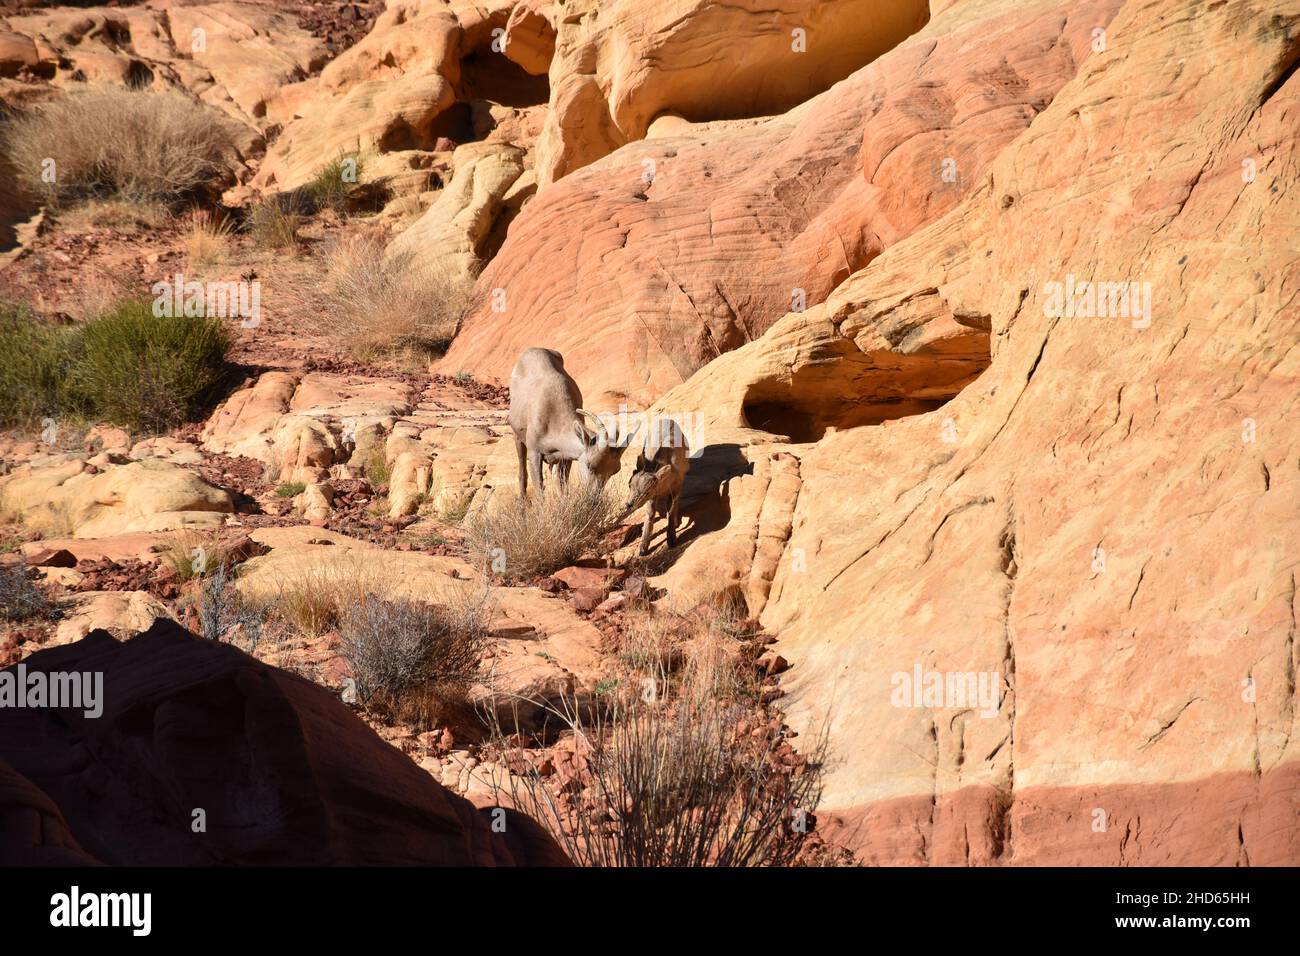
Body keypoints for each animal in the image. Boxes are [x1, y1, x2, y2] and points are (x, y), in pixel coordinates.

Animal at [507, 347, 639, 497]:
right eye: (589, 465)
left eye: (614, 471)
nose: (594, 498)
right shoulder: (535, 454)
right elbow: (539, 490)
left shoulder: (566, 457)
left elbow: (562, 484)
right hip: (518, 439)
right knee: (522, 471)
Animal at [623, 416, 689, 555]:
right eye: (630, 485)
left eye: (646, 491)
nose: (629, 505)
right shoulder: (653, 497)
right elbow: (650, 515)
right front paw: (643, 549)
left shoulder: (676, 488)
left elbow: (671, 509)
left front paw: (672, 540)